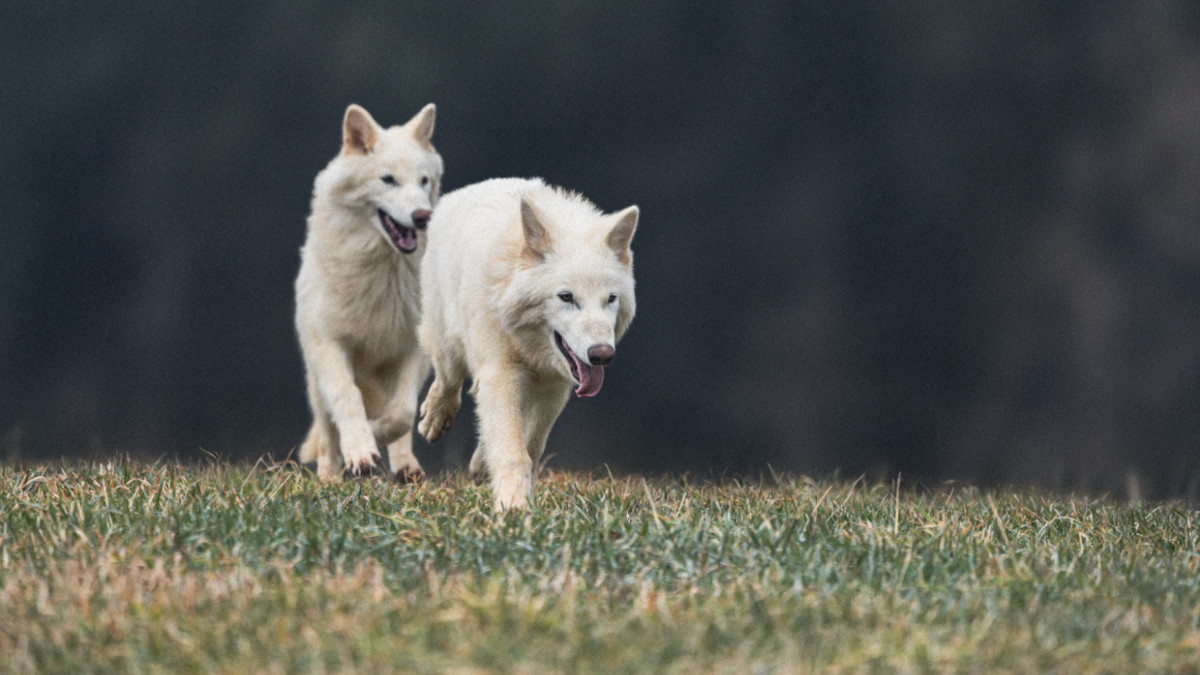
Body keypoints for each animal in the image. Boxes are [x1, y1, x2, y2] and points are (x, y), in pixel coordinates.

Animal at [294, 103, 443, 480]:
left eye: (424, 181)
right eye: (388, 180)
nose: (422, 216)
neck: (383, 272)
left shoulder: (413, 349)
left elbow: (403, 411)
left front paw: (376, 435)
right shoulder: (331, 345)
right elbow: (347, 399)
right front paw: (360, 453)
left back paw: (406, 469)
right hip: (315, 380)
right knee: (328, 432)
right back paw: (331, 476)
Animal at [417, 178, 638, 510]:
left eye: (610, 298)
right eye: (566, 297)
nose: (602, 355)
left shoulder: (554, 388)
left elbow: (531, 447)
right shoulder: (501, 373)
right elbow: (512, 450)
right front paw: (513, 507)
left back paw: (480, 462)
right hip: (449, 345)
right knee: (447, 380)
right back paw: (434, 417)